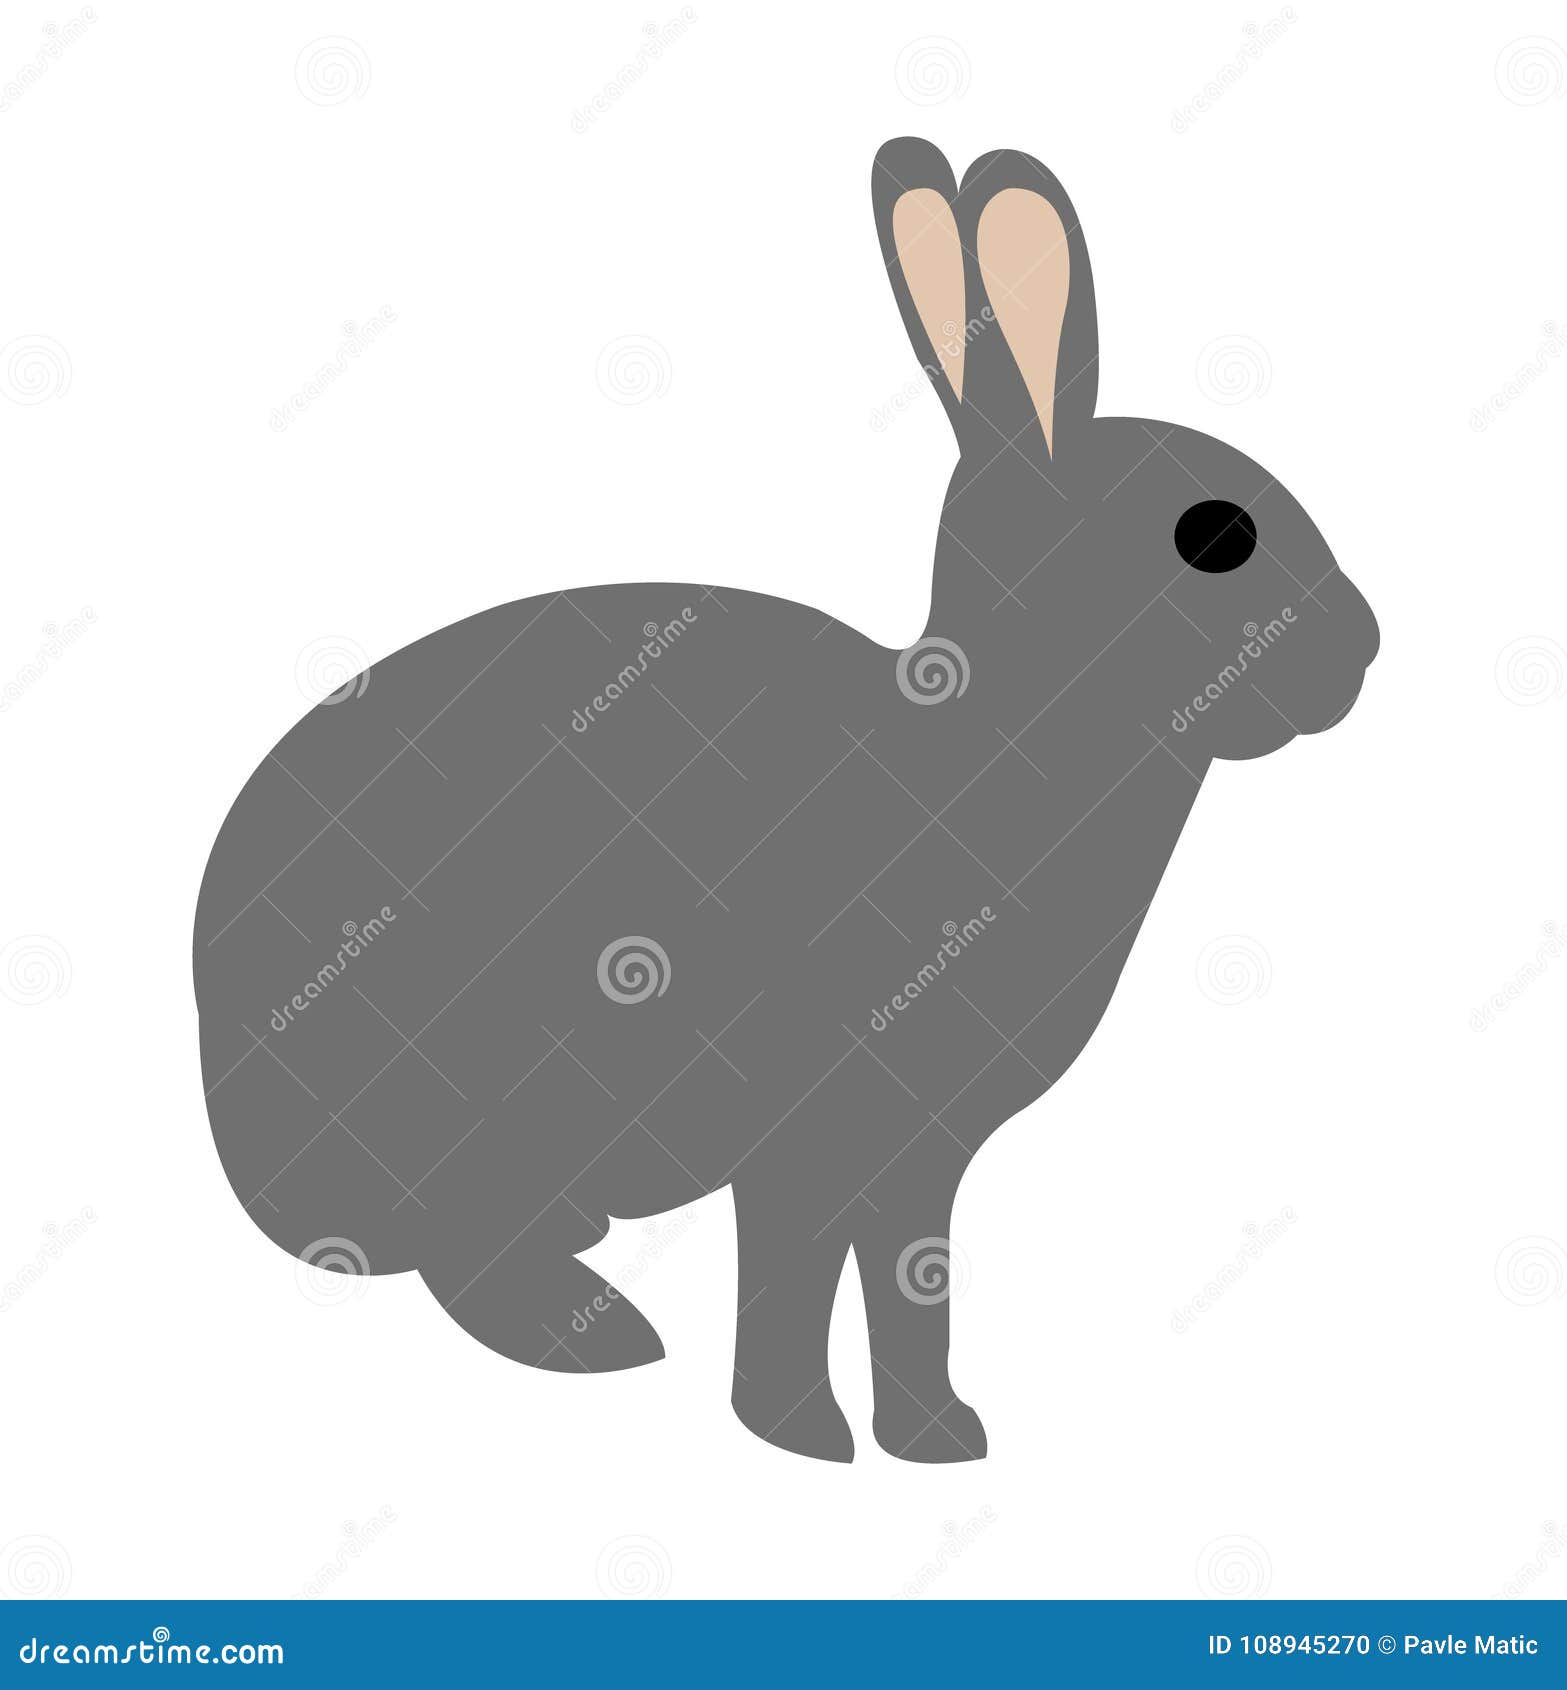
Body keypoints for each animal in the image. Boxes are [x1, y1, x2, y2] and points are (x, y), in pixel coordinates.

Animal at [194, 138, 1378, 1463]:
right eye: (1214, 536)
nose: (1362, 648)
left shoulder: (917, 1155)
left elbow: (915, 1276)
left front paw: (936, 1437)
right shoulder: (805, 1131)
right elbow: (797, 1272)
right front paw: (803, 1436)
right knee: (466, 1249)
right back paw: (598, 1333)